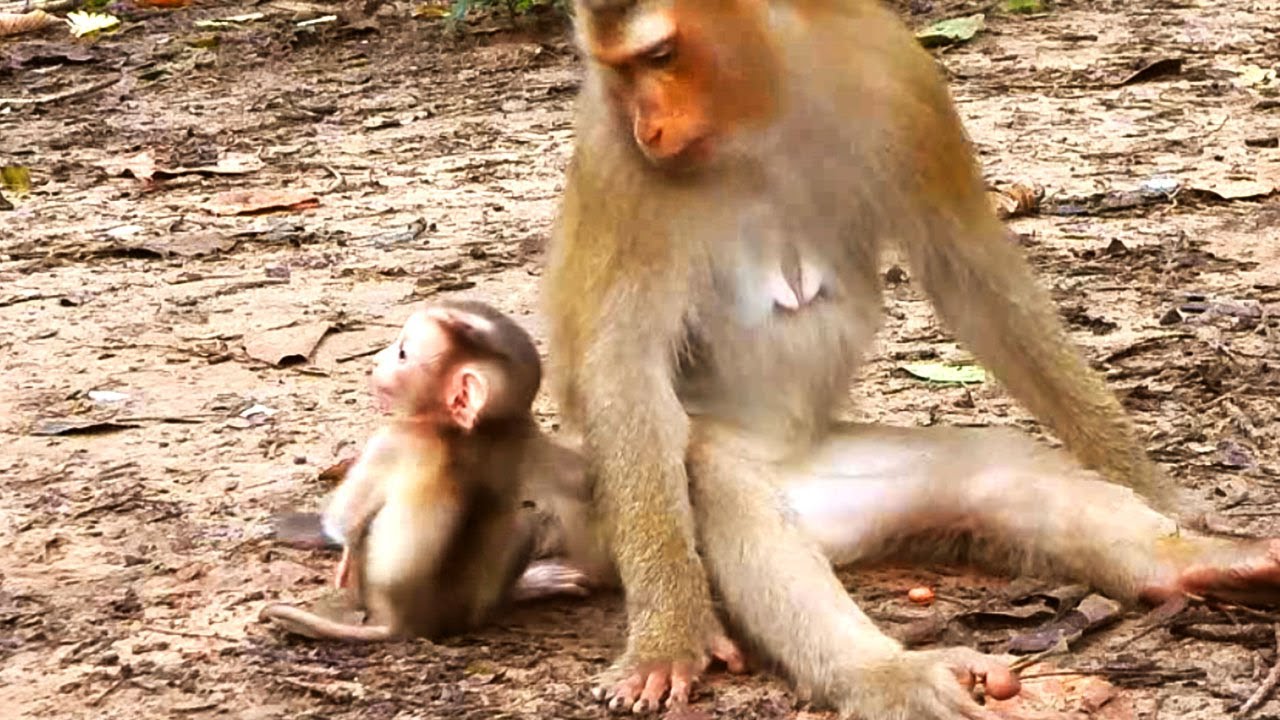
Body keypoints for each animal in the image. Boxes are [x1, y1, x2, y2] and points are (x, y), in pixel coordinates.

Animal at [259, 300, 603, 642]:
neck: (468, 430)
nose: (375, 360)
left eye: (402, 353)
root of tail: (402, 624)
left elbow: (342, 521)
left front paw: (341, 549)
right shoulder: (526, 435)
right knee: (524, 526)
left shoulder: (395, 438)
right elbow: (585, 479)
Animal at [543, 0, 1179, 715]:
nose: (647, 126)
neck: (759, 113)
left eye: (659, 57)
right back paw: (886, 674)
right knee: (718, 473)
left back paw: (1200, 564)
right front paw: (667, 639)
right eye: (620, 71)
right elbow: (626, 370)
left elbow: (977, 284)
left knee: (999, 470)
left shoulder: (902, 84)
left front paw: (1155, 485)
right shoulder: (616, 159)